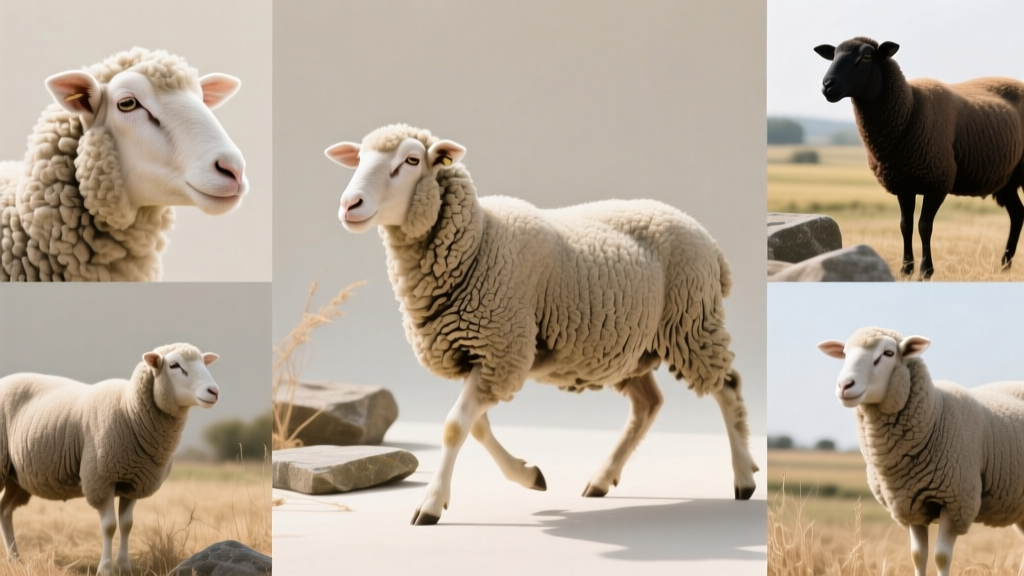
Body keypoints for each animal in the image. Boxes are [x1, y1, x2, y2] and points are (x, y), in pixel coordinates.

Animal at [0, 343, 220, 576]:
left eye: (203, 363)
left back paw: (15, 558)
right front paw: (105, 567)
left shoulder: (134, 481)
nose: (214, 392)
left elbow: (126, 524)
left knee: (5, 510)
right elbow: (109, 526)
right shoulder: (100, 480)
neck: (129, 409)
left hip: (17, 478)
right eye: (174, 365)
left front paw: (124, 565)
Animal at [324, 123, 759, 526]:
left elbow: (454, 426)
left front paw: (430, 505)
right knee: (648, 405)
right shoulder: (480, 355)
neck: (479, 240)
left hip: (692, 323)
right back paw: (601, 479)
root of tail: (712, 245)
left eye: (412, 160)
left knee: (727, 388)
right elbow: (477, 428)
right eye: (359, 159)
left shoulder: (502, 350)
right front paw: (529, 475)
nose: (349, 204)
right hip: (630, 347)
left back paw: (744, 478)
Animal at [814, 37, 1024, 279]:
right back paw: (1004, 266)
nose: (827, 85)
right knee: (1017, 214)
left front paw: (926, 271)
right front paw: (906, 269)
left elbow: (924, 226)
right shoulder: (903, 183)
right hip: (1007, 180)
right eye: (833, 55)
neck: (911, 108)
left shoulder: (937, 181)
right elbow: (905, 225)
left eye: (866, 56)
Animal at [818, 326, 1024, 576]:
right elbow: (918, 555)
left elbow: (941, 556)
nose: (844, 385)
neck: (934, 414)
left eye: (888, 353)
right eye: (845, 354)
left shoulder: (956, 502)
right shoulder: (909, 504)